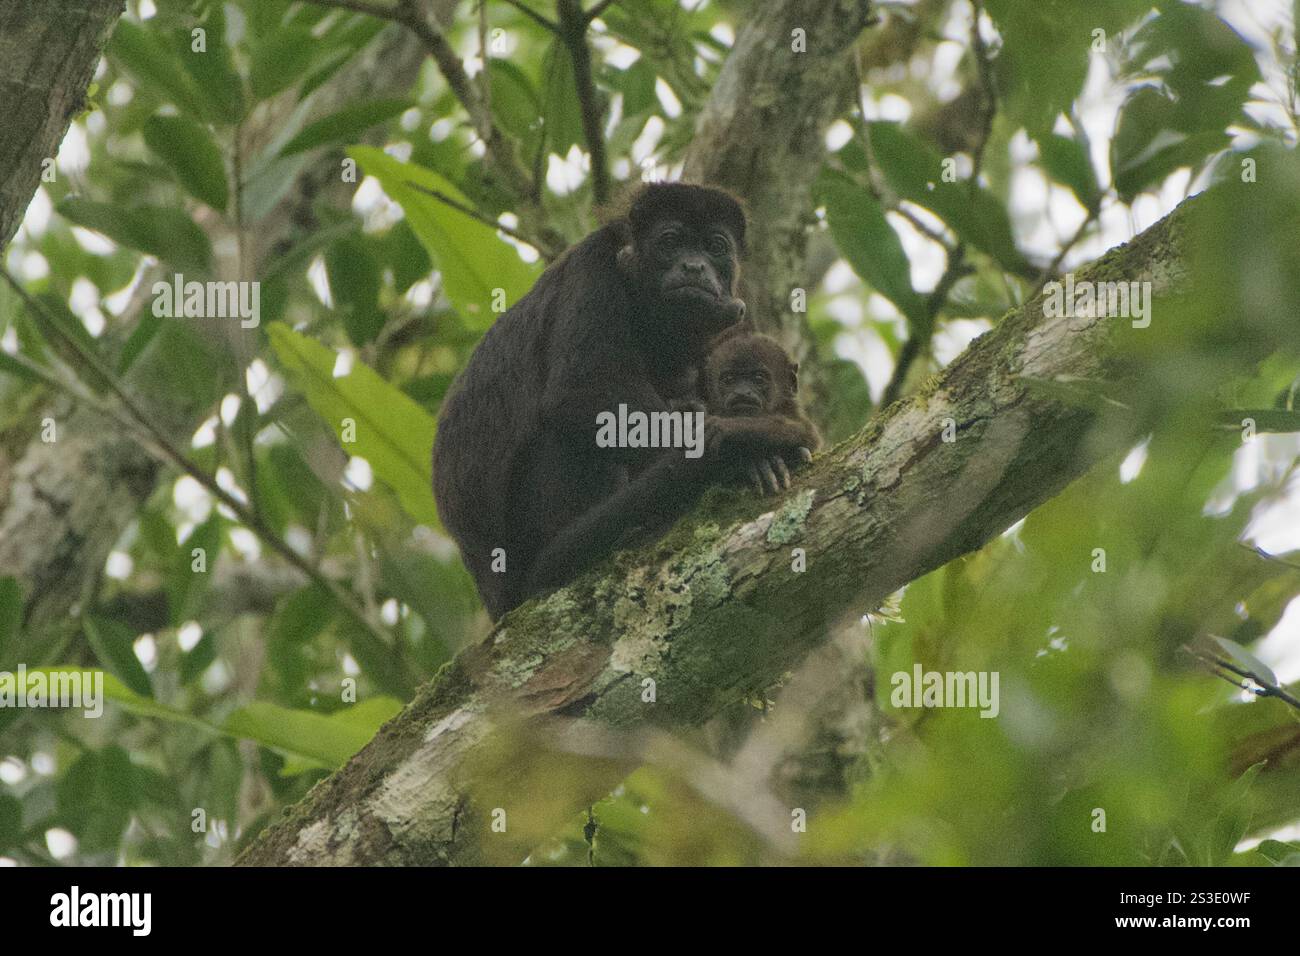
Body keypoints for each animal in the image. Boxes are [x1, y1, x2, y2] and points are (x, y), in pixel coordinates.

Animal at [434, 182, 797, 619]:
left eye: (715, 246)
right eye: (670, 241)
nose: (695, 267)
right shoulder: (592, 269)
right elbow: (583, 391)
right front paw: (748, 455)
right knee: (564, 436)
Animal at [699, 320, 822, 495]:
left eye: (758, 378)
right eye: (729, 379)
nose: (742, 392)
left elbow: (808, 433)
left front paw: (730, 427)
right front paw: (759, 463)